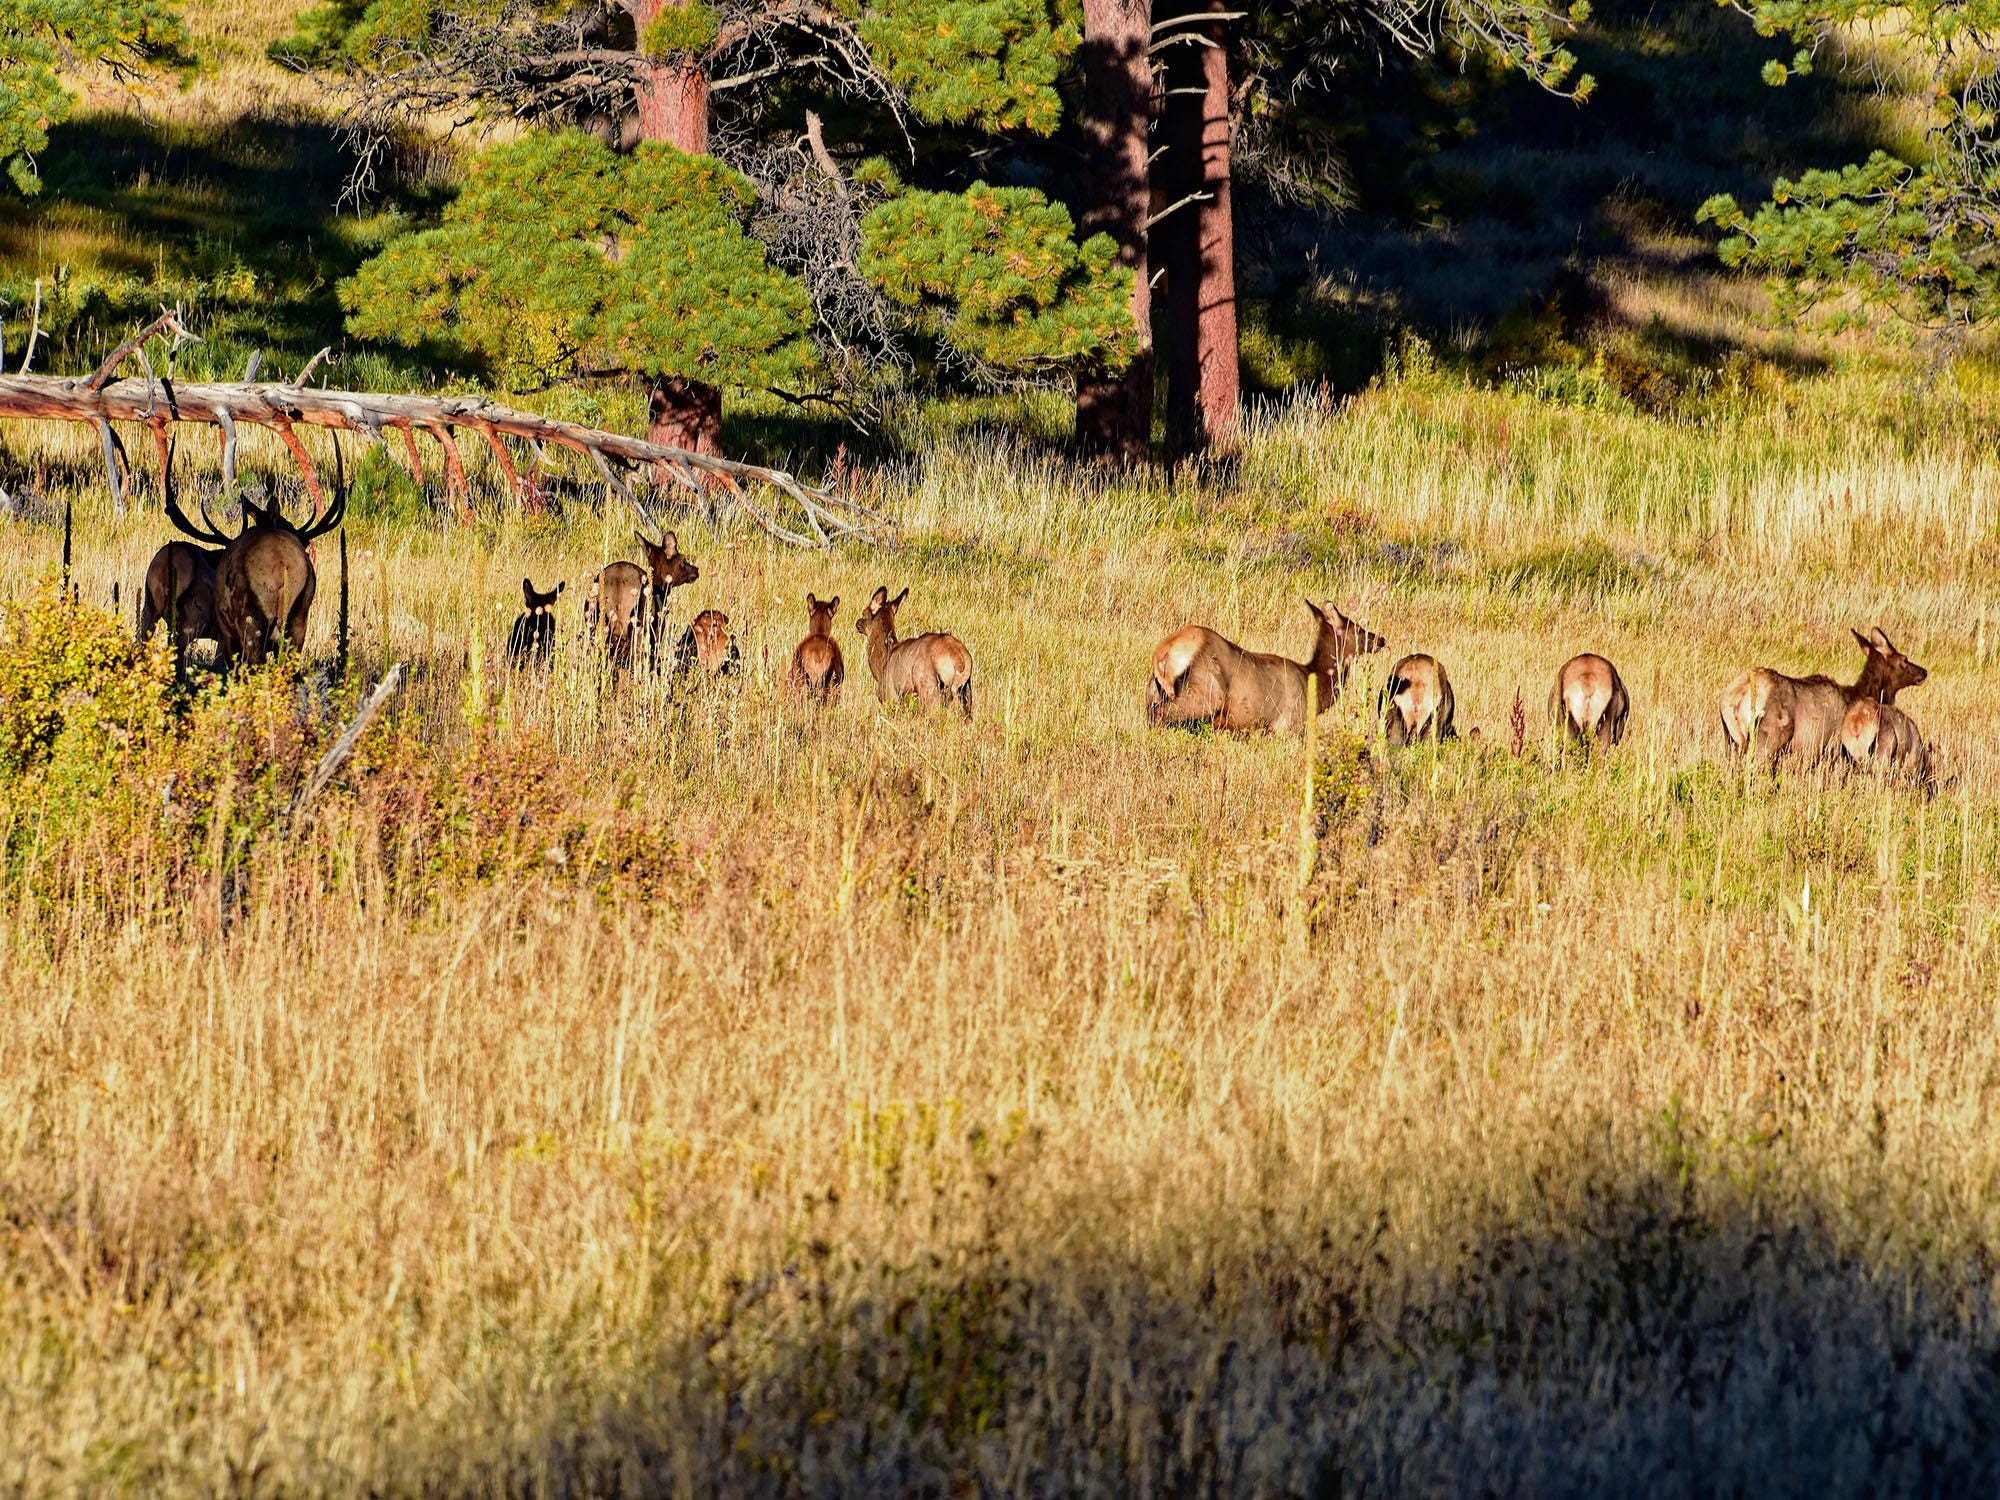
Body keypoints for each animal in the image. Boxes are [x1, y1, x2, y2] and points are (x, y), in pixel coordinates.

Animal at [584, 530, 699, 670]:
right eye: (683, 560)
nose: (696, 570)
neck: (662, 590)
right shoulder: (657, 629)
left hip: (593, 622)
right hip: (638, 624)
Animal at [855, 586, 973, 717]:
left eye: (863, 613)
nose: (857, 623)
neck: (881, 663)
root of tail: (960, 660)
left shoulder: (890, 696)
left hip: (928, 687)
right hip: (966, 690)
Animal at [1148, 602, 1384, 735]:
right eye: (1357, 629)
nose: (1381, 639)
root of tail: (1162, 653)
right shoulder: (1287, 727)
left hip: (1153, 691)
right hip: (1205, 692)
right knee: (1162, 715)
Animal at [1720, 627, 1927, 767]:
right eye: (1904, 660)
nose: (1924, 672)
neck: (1858, 695)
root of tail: (1737, 696)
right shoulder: (1833, 747)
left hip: (1731, 740)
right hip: (1768, 737)